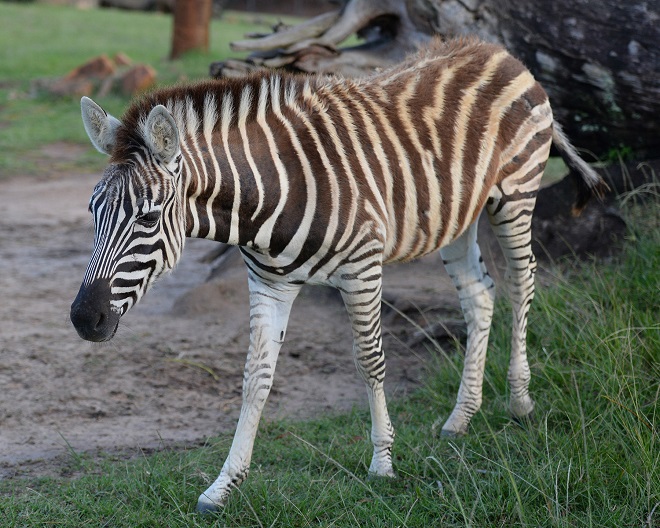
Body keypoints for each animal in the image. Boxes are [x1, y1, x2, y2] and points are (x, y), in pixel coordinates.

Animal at [70, 37, 606, 512]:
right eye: (92, 212)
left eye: (147, 218)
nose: (83, 319)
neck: (268, 194)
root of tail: (497, 50)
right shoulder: (269, 282)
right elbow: (254, 377)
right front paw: (222, 487)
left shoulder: (361, 268)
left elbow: (370, 361)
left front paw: (383, 464)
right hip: (457, 215)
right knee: (480, 296)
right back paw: (460, 417)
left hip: (515, 195)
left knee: (521, 283)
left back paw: (519, 400)